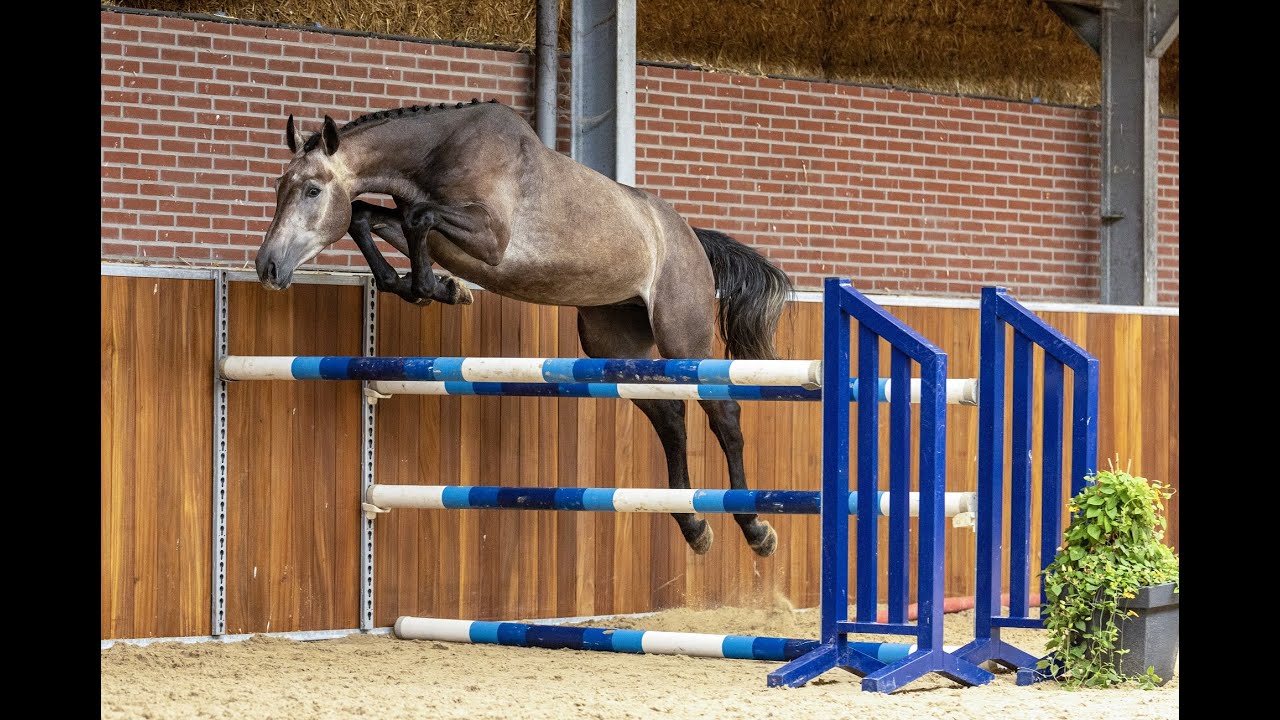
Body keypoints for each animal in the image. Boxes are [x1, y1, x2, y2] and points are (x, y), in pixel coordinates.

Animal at [255, 99, 794, 557]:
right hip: (614, 343)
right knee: (670, 420)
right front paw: (430, 286)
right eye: (280, 188)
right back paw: (694, 526)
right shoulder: (443, 236)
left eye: (312, 190)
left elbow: (416, 216)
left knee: (723, 415)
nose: (267, 267)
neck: (440, 152)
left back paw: (756, 530)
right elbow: (368, 217)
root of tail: (689, 236)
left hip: (684, 337)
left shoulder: (489, 239)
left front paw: (433, 287)